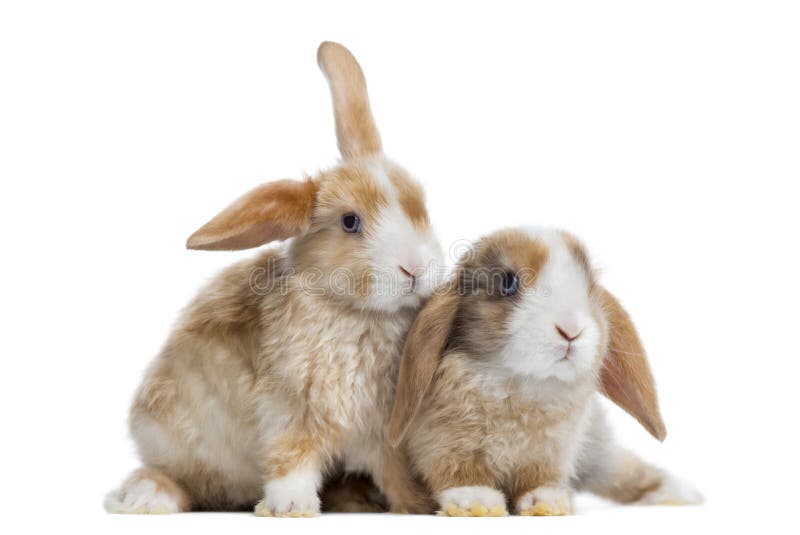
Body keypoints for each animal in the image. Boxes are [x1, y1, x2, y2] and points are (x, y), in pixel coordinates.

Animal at [104, 41, 443, 516]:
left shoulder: (384, 430)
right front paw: (290, 507)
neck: (354, 311)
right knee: (181, 480)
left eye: (421, 208)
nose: (416, 268)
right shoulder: (292, 409)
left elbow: (395, 471)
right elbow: (291, 457)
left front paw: (416, 505)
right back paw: (147, 496)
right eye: (350, 222)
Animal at [388, 227, 703, 516]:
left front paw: (546, 503)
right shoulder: (444, 444)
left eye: (589, 288)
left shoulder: (549, 456)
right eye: (508, 282)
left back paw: (680, 493)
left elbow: (539, 481)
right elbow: (457, 473)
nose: (571, 329)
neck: (522, 384)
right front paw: (476, 502)